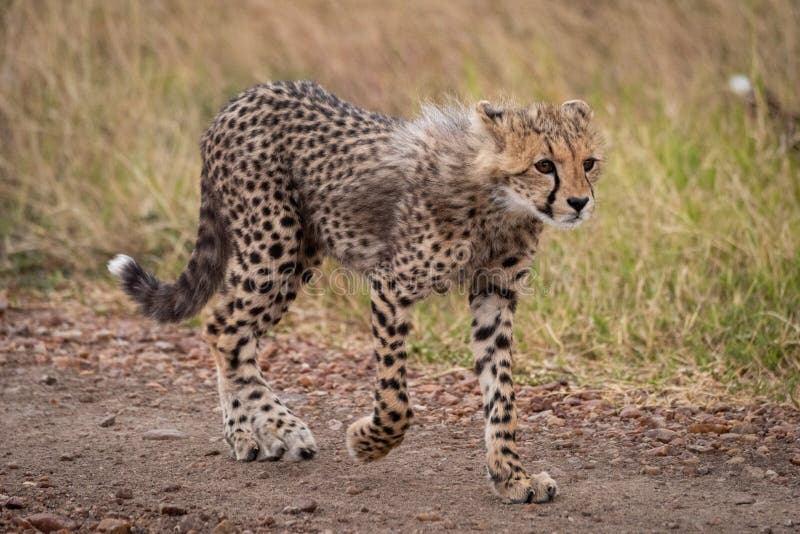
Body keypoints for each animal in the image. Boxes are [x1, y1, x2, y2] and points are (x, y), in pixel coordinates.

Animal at [108, 81, 604, 504]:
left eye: (589, 163)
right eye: (544, 165)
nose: (580, 202)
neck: (501, 202)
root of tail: (244, 97)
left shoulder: (493, 296)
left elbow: (501, 395)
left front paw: (510, 476)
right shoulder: (392, 286)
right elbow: (396, 399)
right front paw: (367, 443)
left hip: (297, 261)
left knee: (233, 332)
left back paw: (250, 432)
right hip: (274, 248)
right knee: (223, 329)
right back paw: (280, 428)